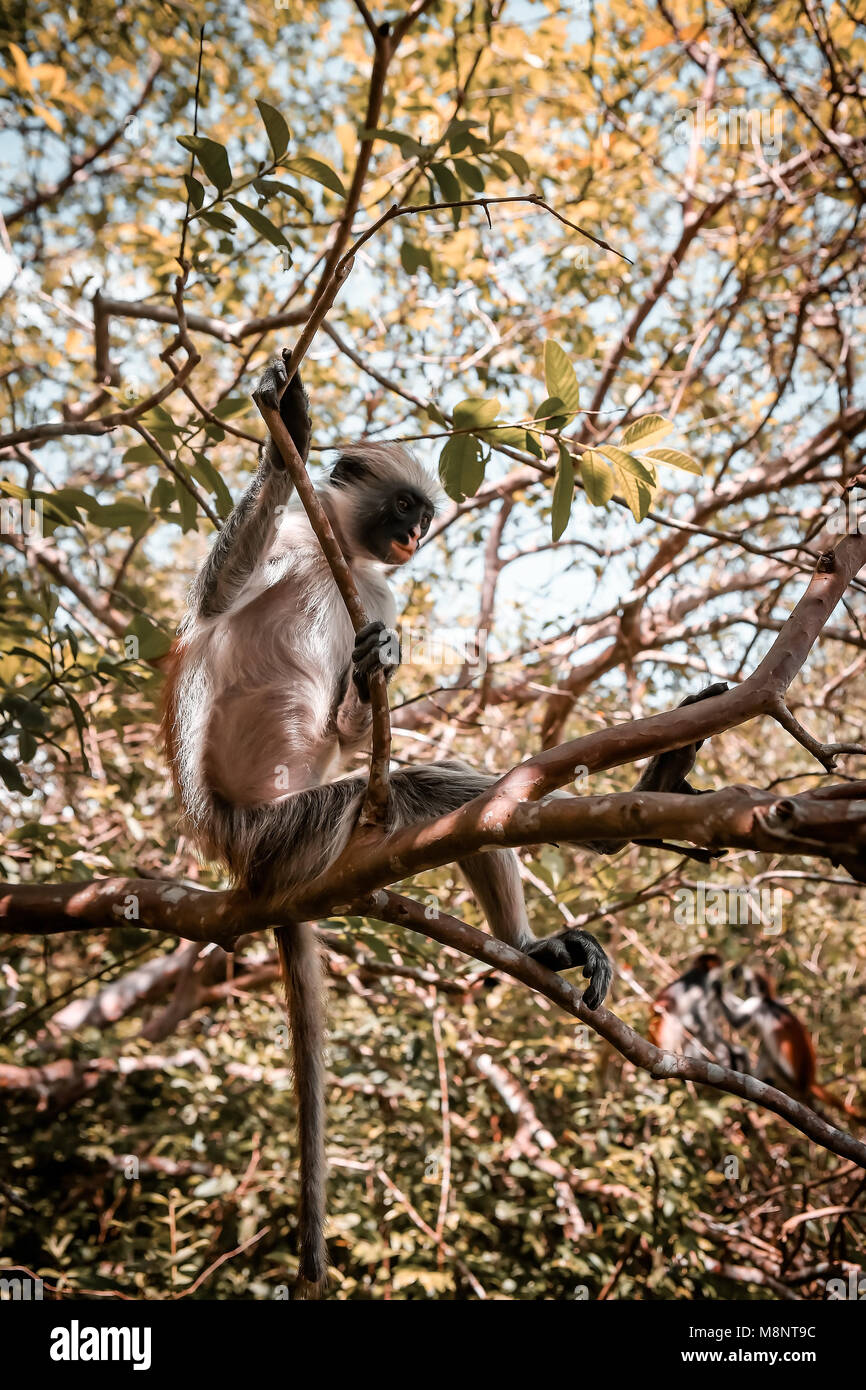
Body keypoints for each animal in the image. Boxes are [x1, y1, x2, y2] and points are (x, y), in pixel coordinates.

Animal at [162, 358, 615, 1296]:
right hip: (288, 830)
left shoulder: (374, 588)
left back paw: (535, 941)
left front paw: (384, 669)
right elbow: (213, 597)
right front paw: (286, 430)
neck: (324, 547)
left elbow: (361, 704)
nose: (414, 536)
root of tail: (241, 864)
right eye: (406, 507)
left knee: (445, 799)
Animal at [721, 963, 864, 1120]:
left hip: (787, 1076)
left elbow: (735, 1021)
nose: (745, 989)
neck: (770, 1000)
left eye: (747, 985)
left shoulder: (757, 1004)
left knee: (769, 1053)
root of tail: (807, 1080)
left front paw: (718, 986)